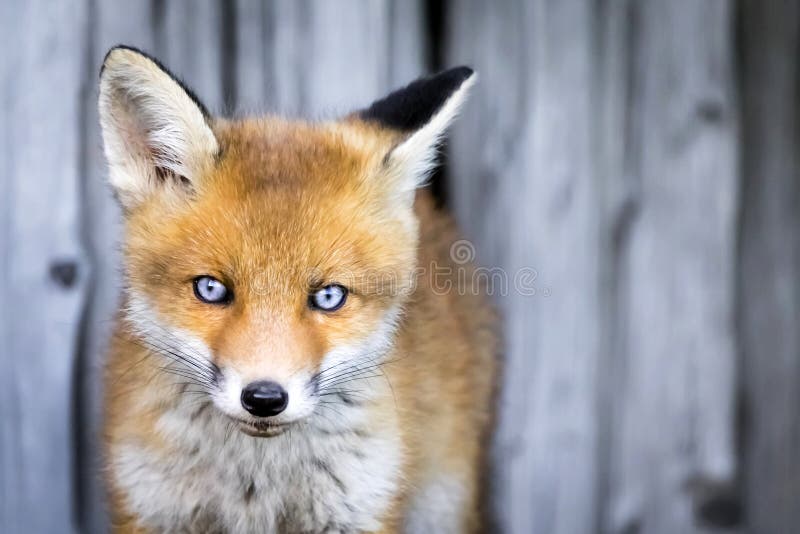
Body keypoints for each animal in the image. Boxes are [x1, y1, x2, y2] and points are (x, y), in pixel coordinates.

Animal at [100, 45, 497, 533]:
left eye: (328, 297)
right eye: (211, 289)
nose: (264, 399)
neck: (256, 484)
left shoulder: (360, 507)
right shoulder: (151, 508)